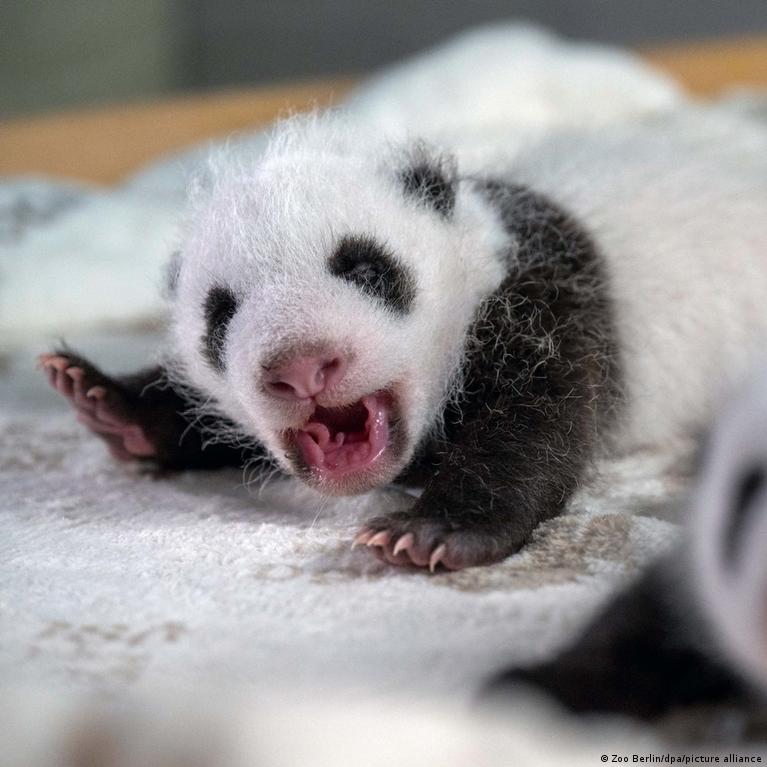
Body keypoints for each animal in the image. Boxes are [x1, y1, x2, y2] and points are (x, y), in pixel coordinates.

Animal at [40, 106, 767, 572]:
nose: (302, 368)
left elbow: (537, 418)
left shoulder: (545, 296)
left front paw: (437, 529)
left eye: (365, 268)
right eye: (220, 315)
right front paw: (108, 401)